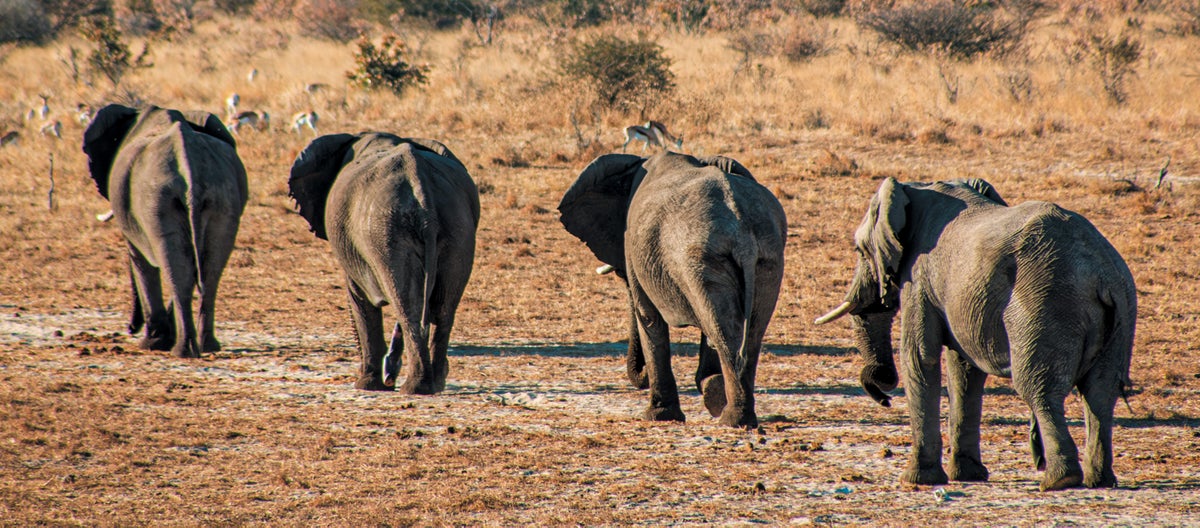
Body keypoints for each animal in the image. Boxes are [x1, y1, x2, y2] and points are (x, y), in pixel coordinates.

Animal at [83, 104, 248, 358]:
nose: (130, 328)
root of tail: (189, 165)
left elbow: (141, 261)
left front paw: (154, 342)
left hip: (156, 200)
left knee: (177, 268)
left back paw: (180, 350)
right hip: (222, 197)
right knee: (207, 270)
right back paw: (206, 347)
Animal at [289, 132, 479, 394]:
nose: (390, 374)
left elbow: (360, 301)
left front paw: (367, 385)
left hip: (385, 234)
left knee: (408, 307)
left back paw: (414, 387)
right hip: (456, 228)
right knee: (442, 308)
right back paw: (435, 384)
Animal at [558, 151, 787, 428]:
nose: (641, 375)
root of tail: (742, 232)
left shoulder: (632, 245)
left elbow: (648, 318)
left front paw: (659, 415)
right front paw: (709, 387)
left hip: (699, 257)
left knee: (726, 330)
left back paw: (730, 419)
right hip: (766, 258)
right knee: (747, 331)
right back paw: (733, 411)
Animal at [814, 177, 1136, 491]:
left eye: (859, 251)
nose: (884, 400)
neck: (918, 187)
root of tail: (1100, 271)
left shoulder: (919, 276)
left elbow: (919, 358)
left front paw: (916, 480)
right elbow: (965, 370)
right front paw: (968, 475)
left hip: (1047, 305)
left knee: (1040, 389)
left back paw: (1059, 481)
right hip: (1122, 311)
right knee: (1100, 393)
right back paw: (1099, 480)